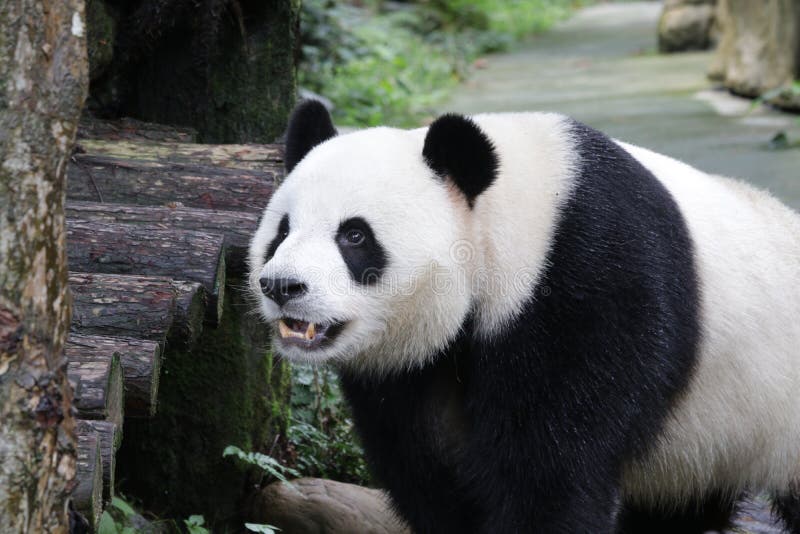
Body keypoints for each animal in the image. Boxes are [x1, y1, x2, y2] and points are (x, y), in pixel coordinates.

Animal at [249, 100, 800, 533]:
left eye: (354, 235)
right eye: (282, 231)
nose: (282, 286)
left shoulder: (594, 287)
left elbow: (548, 471)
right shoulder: (409, 372)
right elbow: (430, 473)